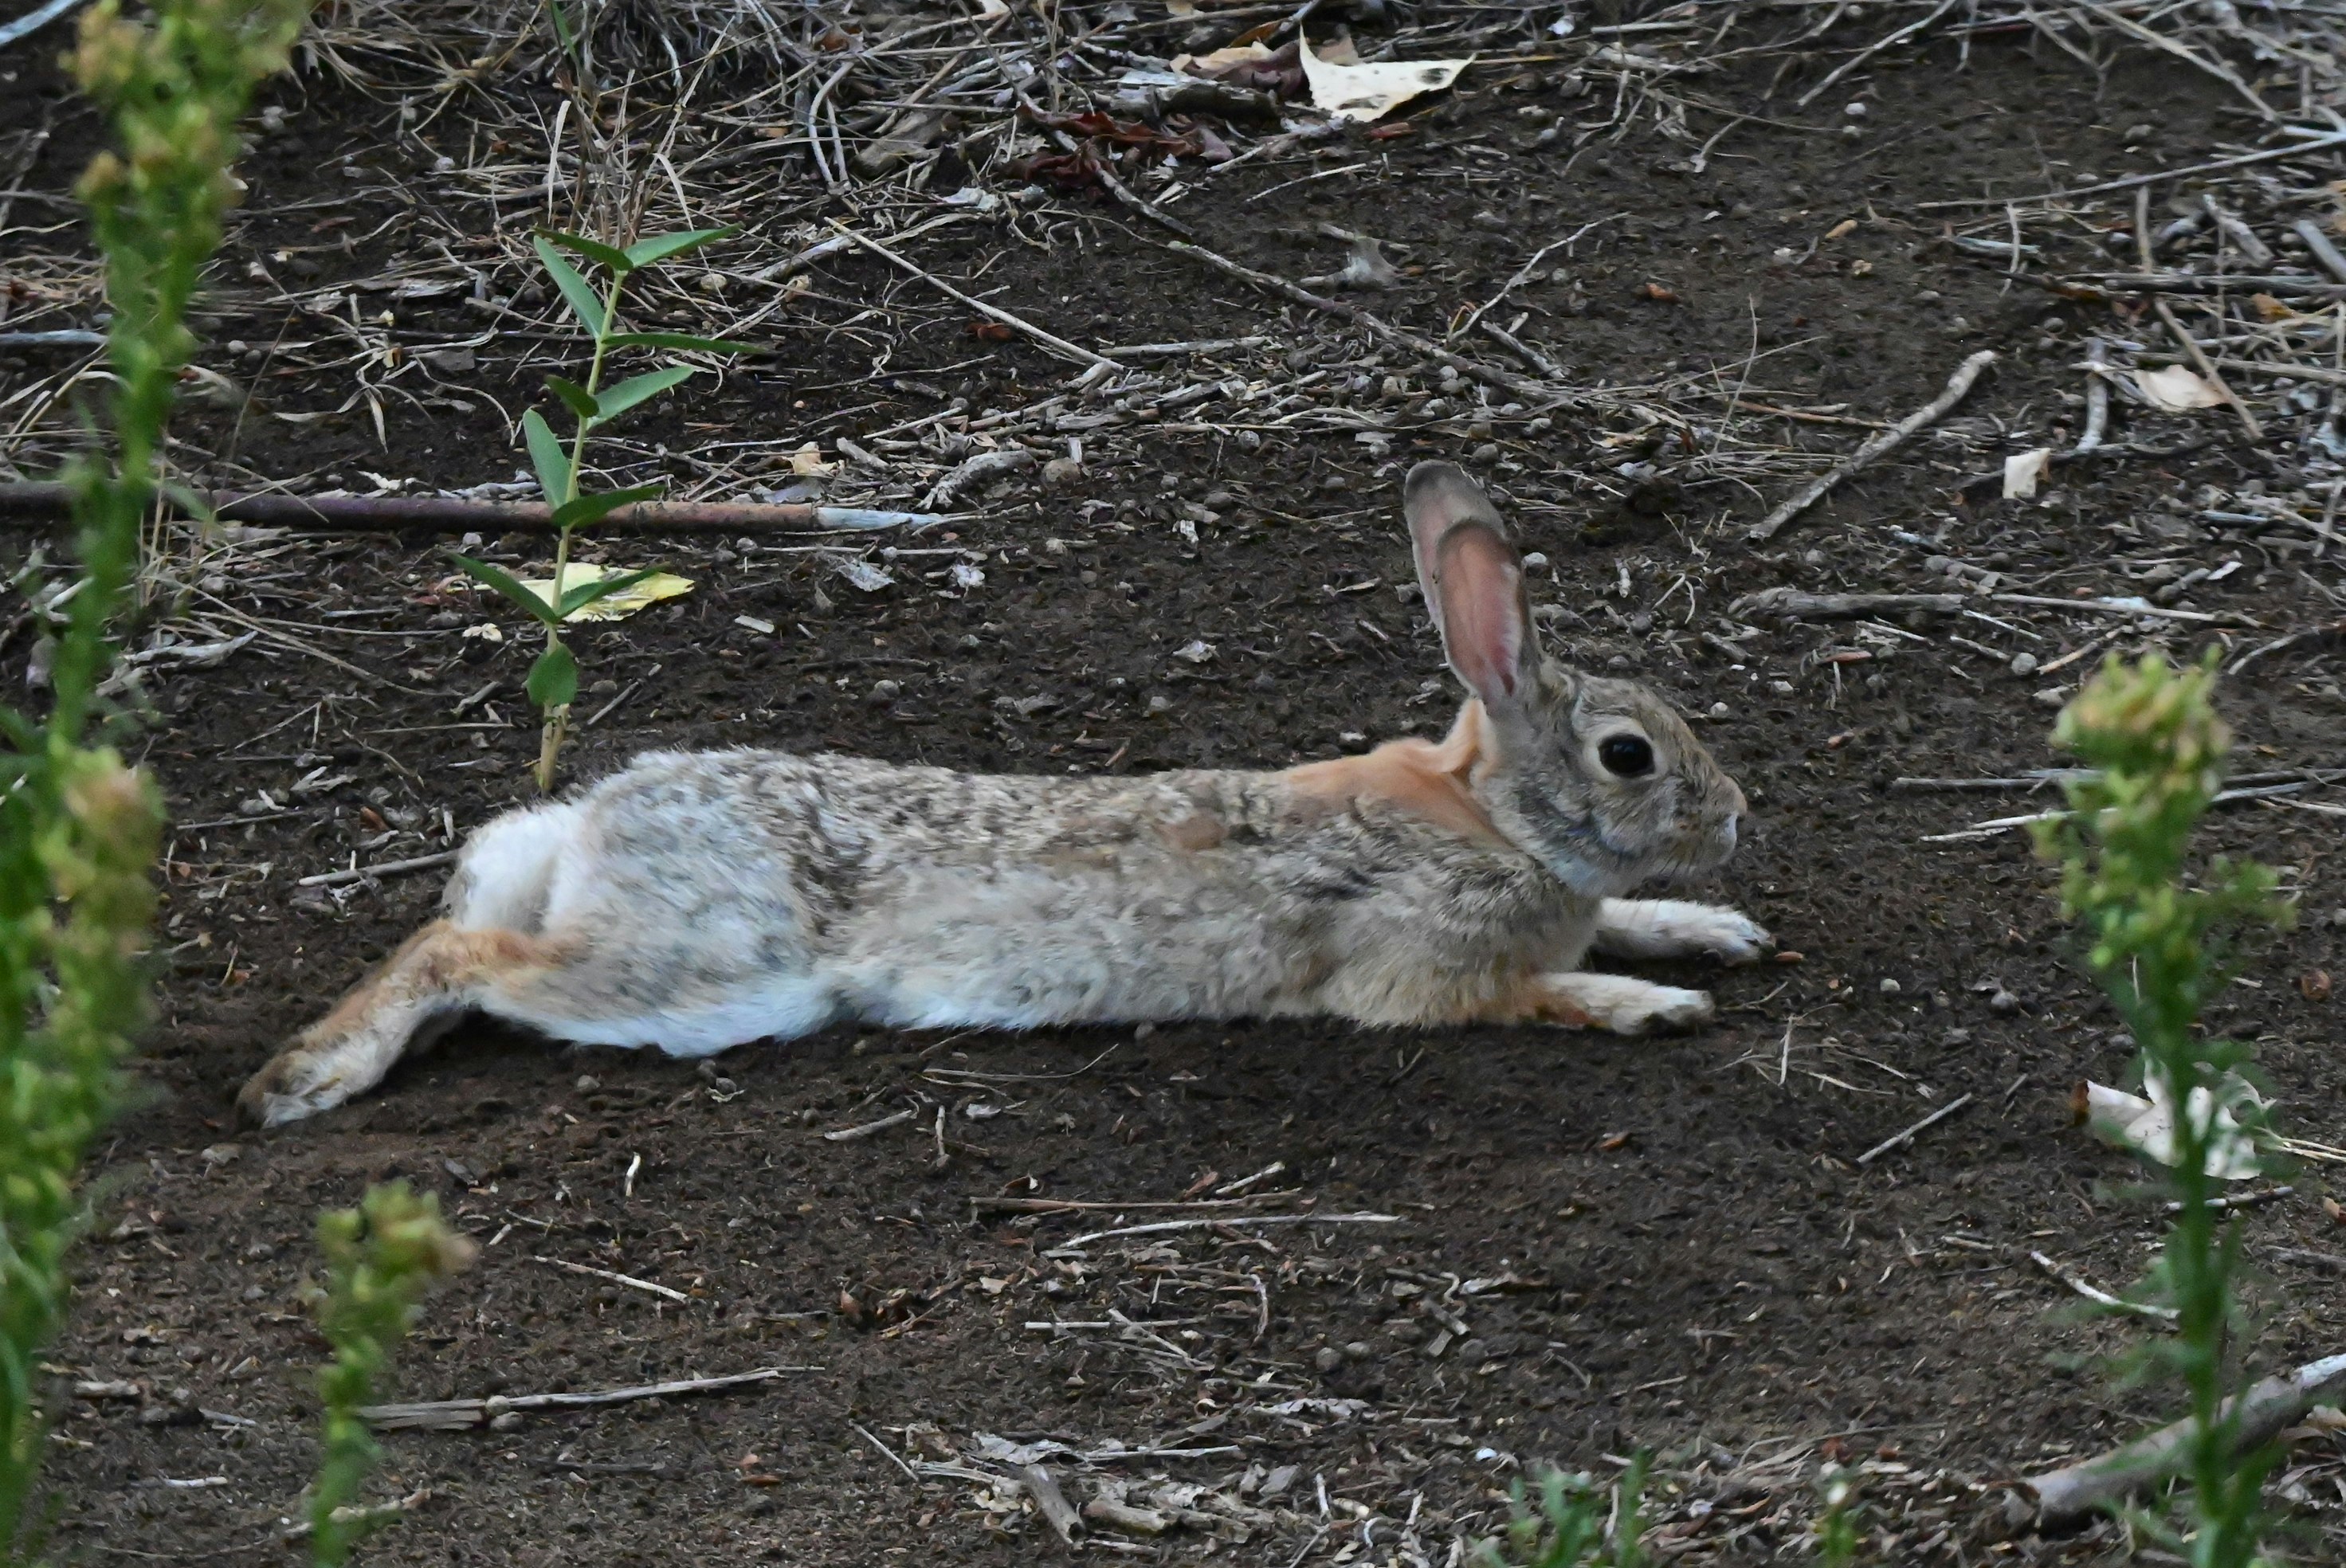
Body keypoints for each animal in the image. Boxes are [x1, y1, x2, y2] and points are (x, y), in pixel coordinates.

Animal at [237, 462, 1768, 1127]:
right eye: (1629, 754)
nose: (1737, 815)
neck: (1488, 814)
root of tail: (602, 821)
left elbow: (1619, 918)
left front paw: (1709, 932)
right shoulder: (1418, 972)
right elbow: (1532, 991)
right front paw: (1651, 1005)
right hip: (701, 977)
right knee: (464, 952)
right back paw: (303, 1080)